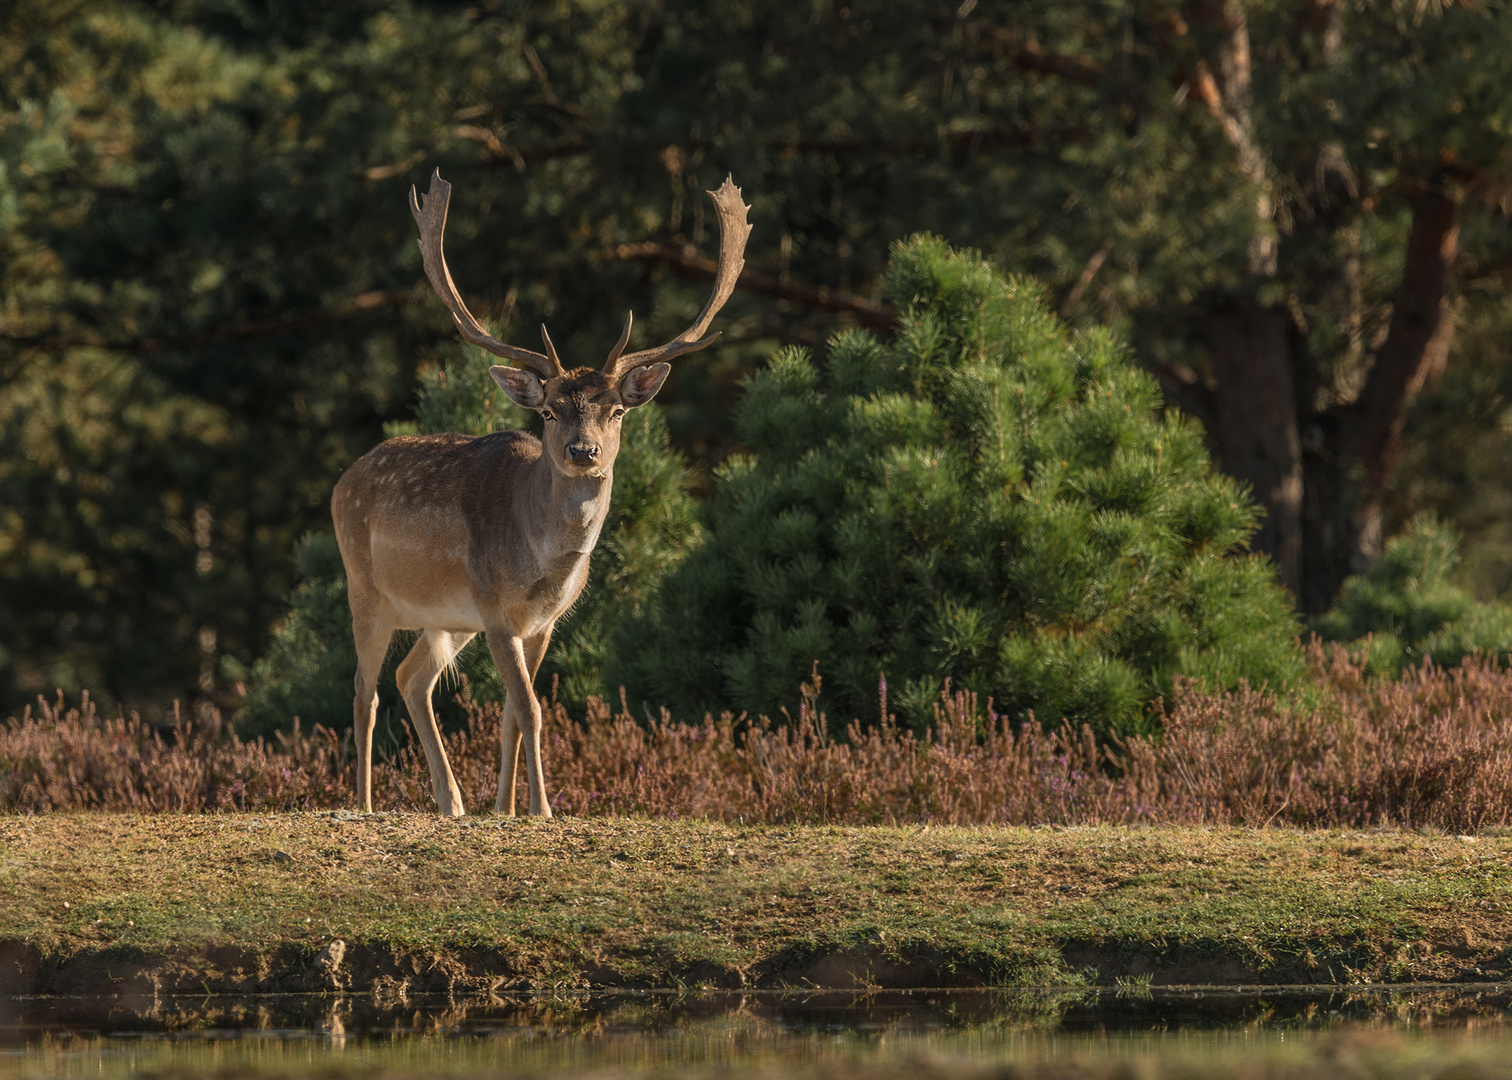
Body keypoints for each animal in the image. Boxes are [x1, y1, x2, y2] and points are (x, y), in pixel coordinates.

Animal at [334, 167, 752, 810]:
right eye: (551, 411)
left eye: (616, 411)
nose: (584, 451)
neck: (545, 566)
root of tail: (341, 482)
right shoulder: (494, 609)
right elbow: (530, 709)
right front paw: (543, 808)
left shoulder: (543, 622)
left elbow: (514, 711)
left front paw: (506, 808)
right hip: (367, 588)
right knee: (364, 690)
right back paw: (364, 803)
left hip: (445, 620)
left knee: (411, 678)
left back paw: (453, 803)